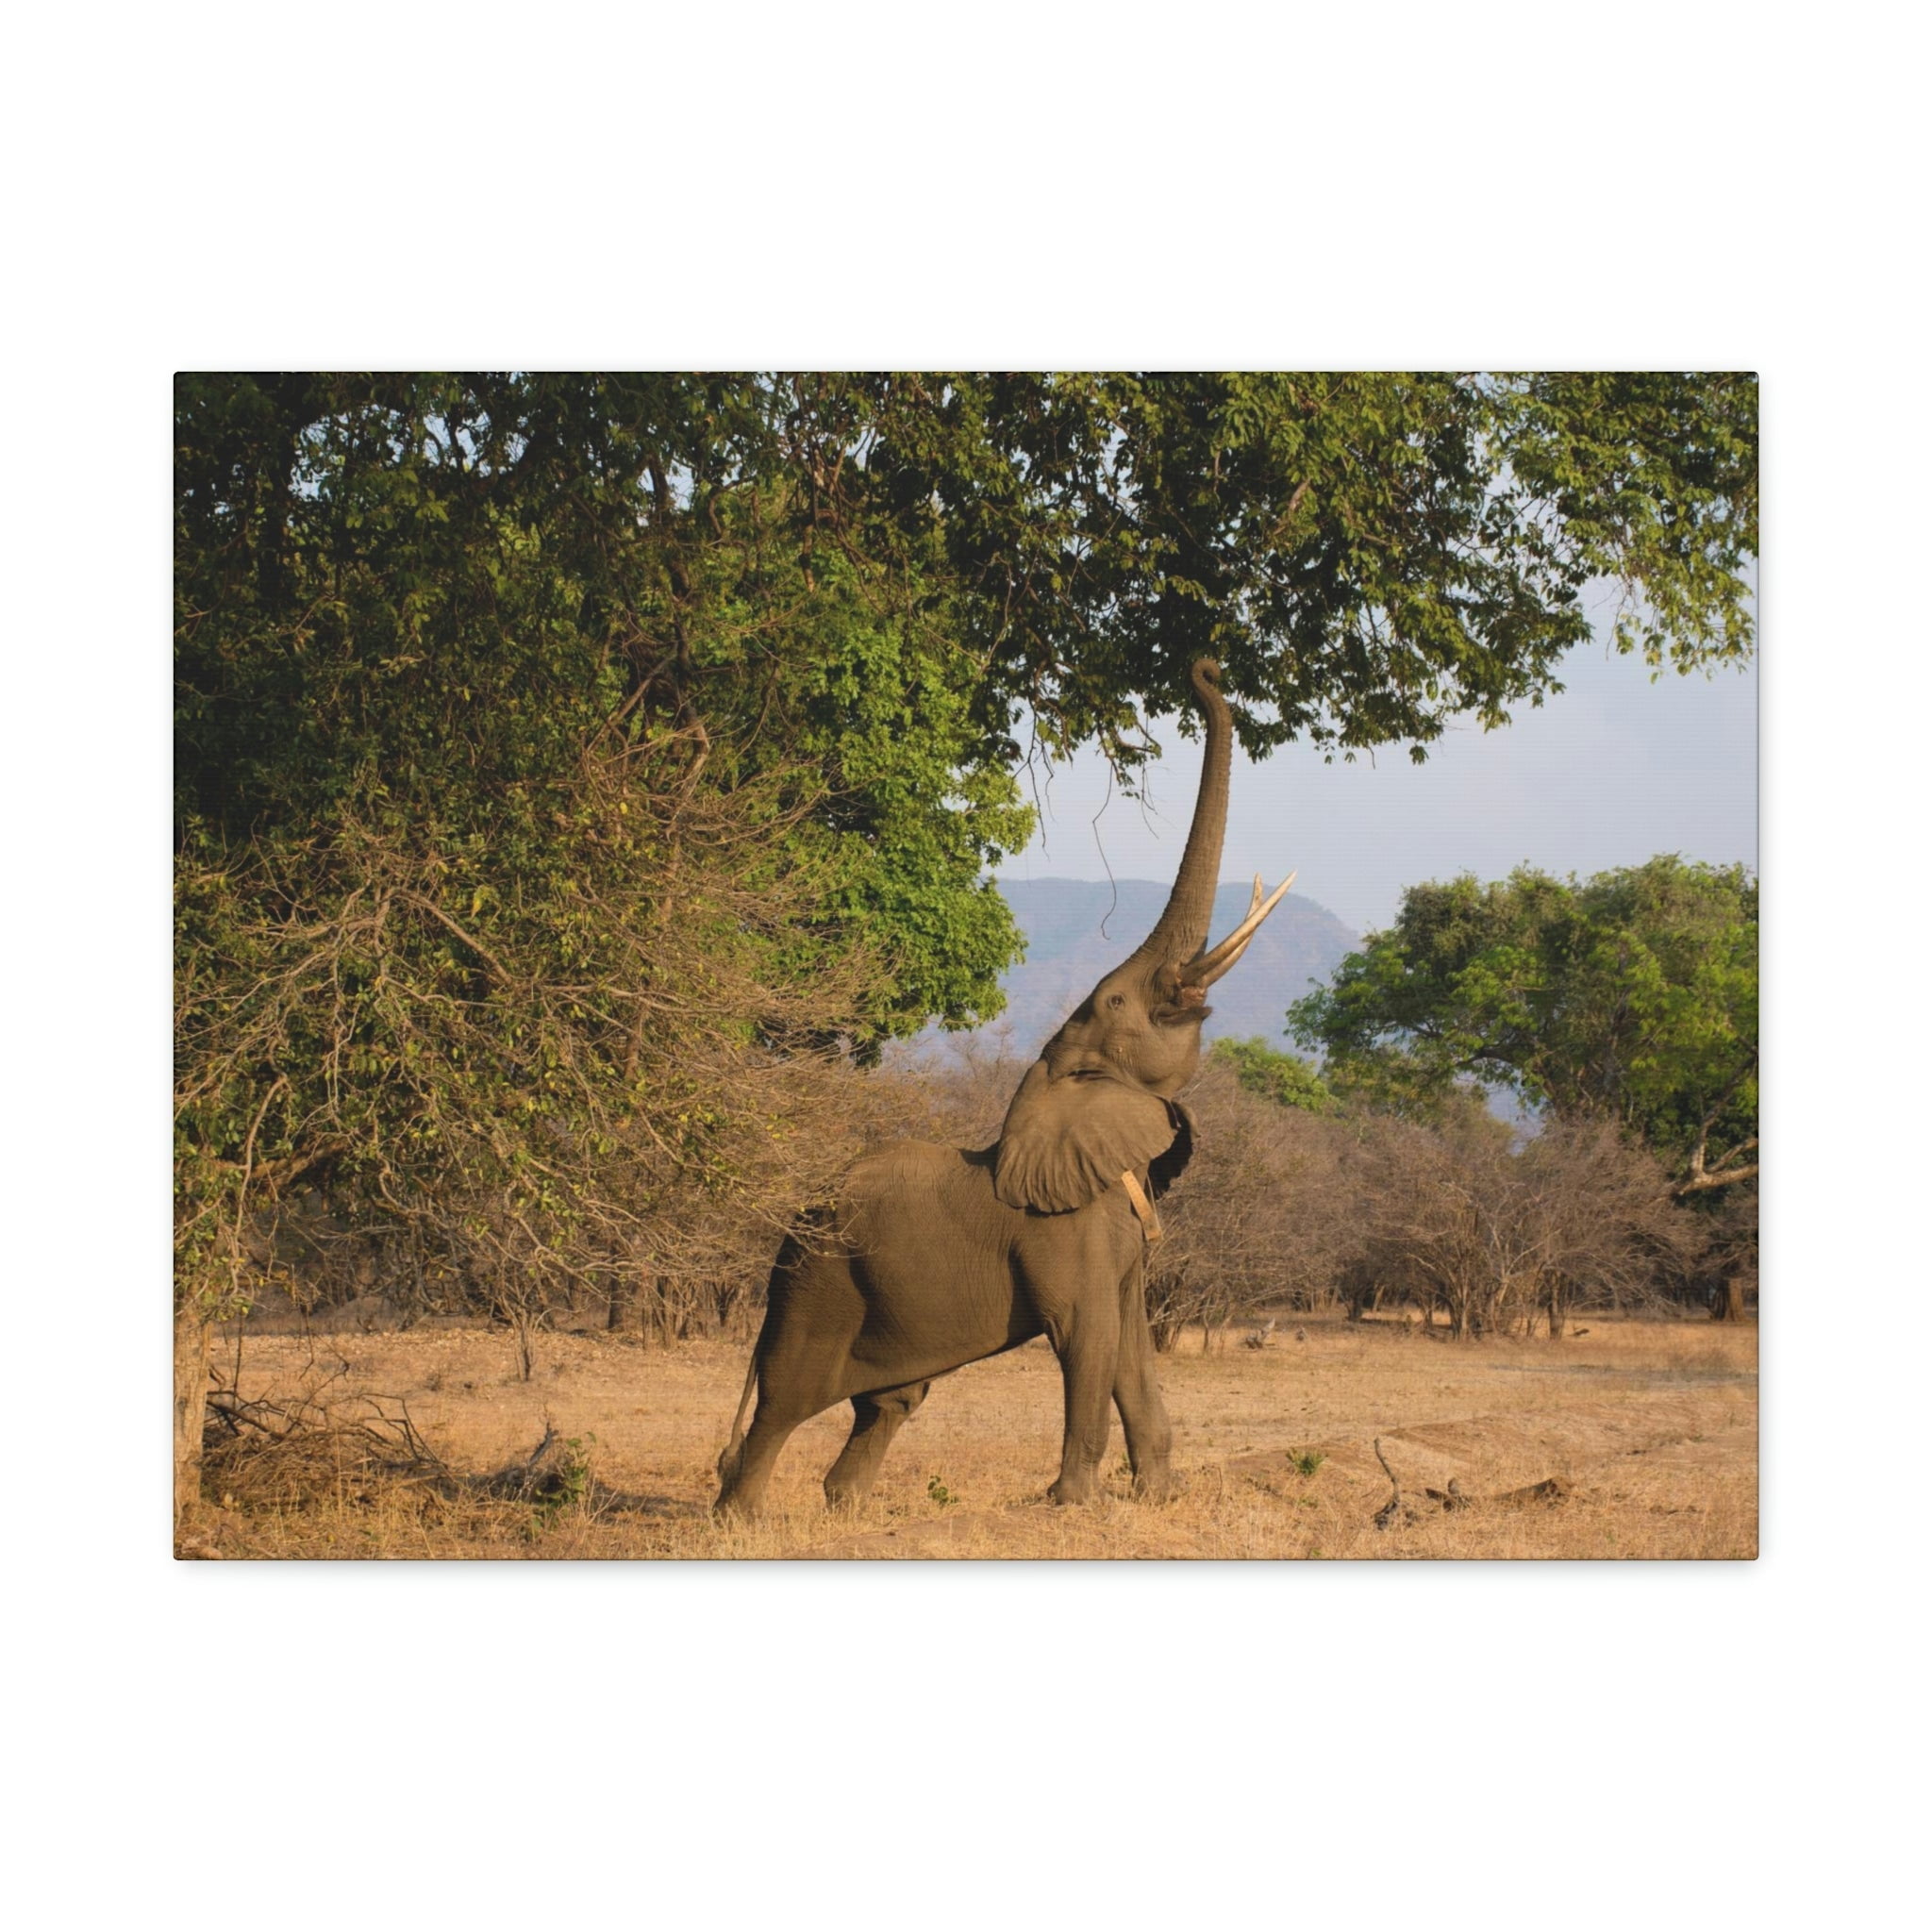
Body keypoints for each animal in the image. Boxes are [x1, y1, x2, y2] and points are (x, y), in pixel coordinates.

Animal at [713, 657, 1293, 1515]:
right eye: (1117, 1003)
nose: (1206, 666)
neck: (1055, 1083)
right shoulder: (1064, 1232)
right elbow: (1088, 1339)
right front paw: (1071, 1506)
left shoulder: (1117, 1236)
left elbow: (1131, 1348)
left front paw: (1154, 1498)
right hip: (814, 1280)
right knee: (786, 1397)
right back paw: (742, 1521)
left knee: (889, 1401)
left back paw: (845, 1507)